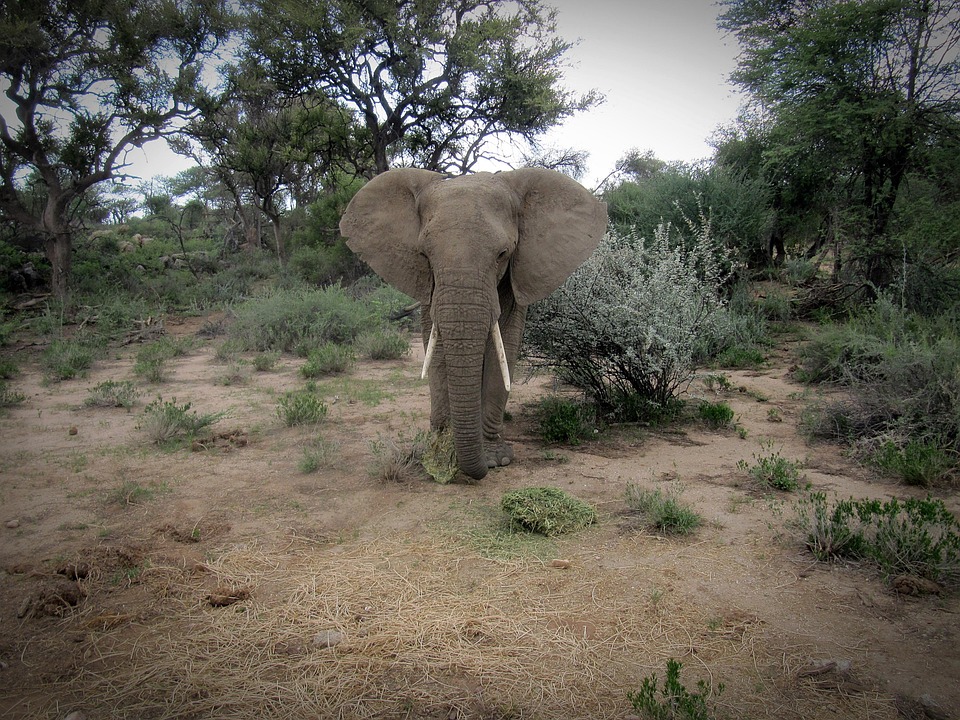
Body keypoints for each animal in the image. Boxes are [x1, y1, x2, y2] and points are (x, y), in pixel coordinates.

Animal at [339, 168, 608, 481]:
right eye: (425, 256)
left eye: (503, 254)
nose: (475, 469)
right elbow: (436, 349)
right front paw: (438, 453)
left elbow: (504, 347)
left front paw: (495, 459)